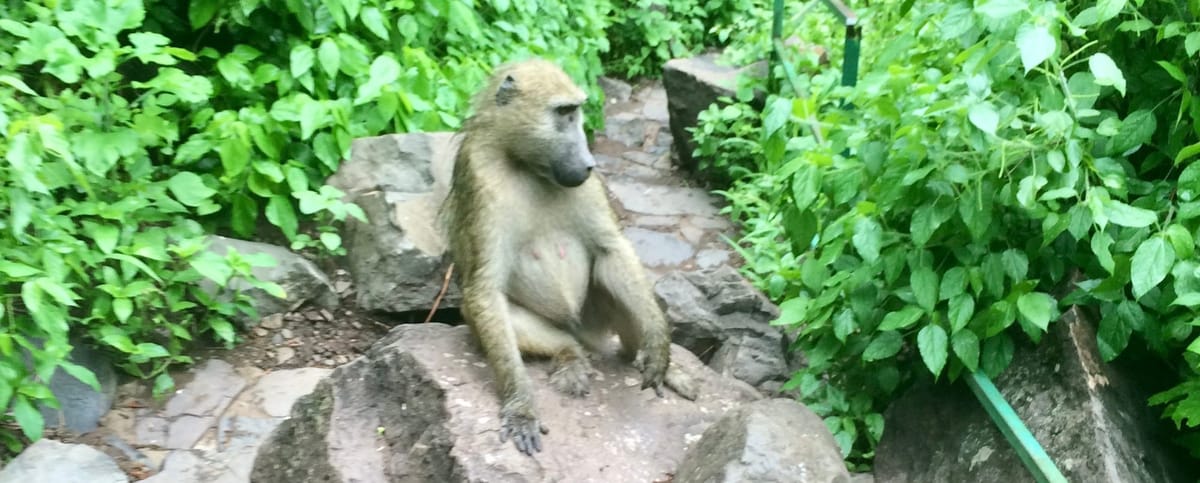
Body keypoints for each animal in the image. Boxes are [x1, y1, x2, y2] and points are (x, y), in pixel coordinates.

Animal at [440, 58, 697, 456]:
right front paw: (521, 408)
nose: (589, 162)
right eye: (563, 113)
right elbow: (485, 290)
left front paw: (659, 345)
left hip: (598, 319)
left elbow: (611, 248)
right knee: (504, 317)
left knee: (609, 273)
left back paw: (653, 361)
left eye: (575, 112)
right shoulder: (479, 174)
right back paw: (570, 357)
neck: (523, 163)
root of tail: (585, 336)